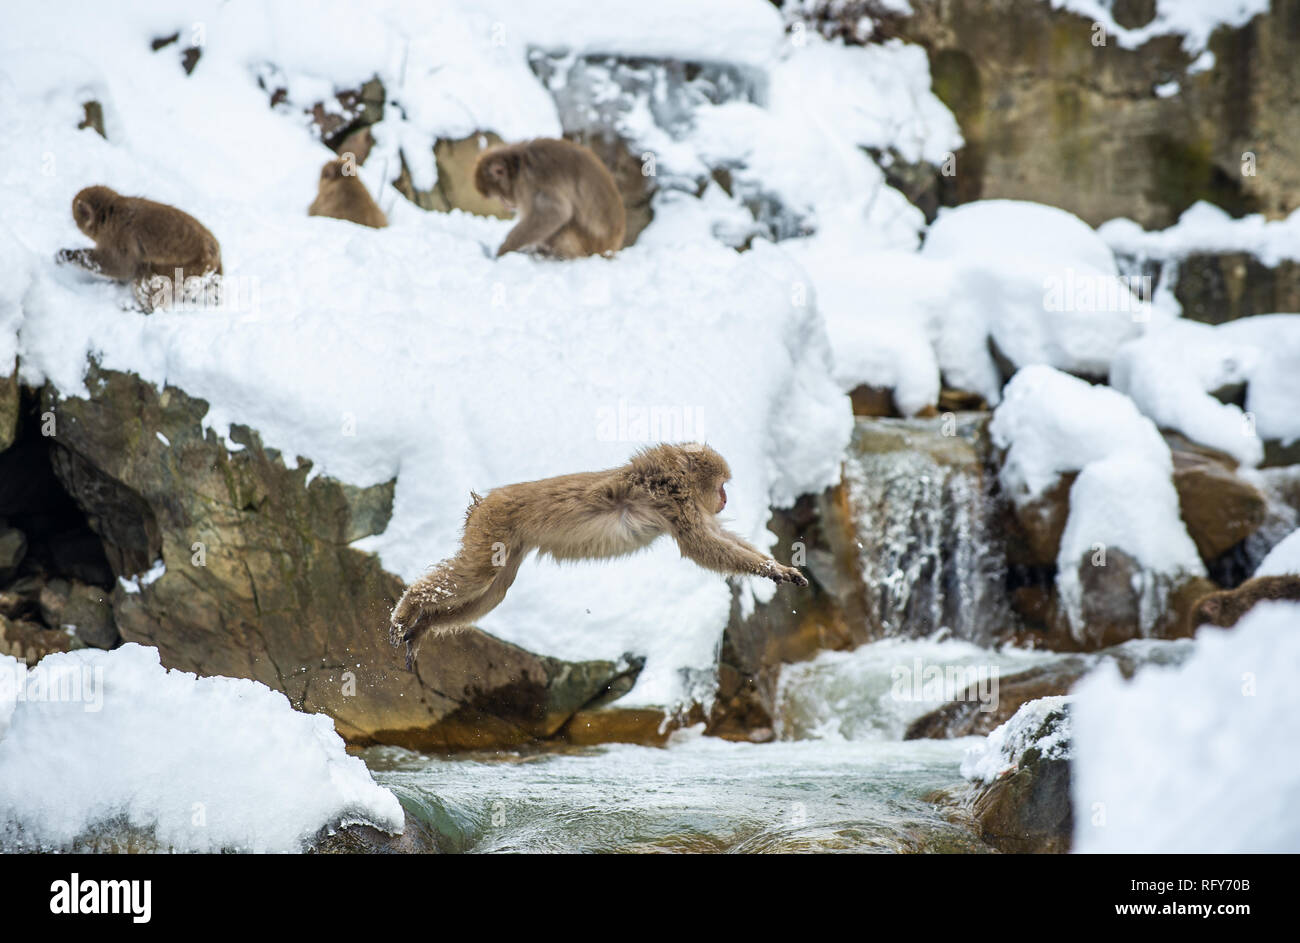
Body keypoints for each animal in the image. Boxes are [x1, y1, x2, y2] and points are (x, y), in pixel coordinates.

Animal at [56, 185, 222, 312]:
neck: (111, 214)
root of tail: (216, 258)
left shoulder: (121, 237)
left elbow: (119, 266)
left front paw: (68, 255)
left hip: (190, 268)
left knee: (147, 277)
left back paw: (144, 309)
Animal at [389, 443, 807, 668]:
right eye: (721, 485)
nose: (724, 499)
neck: (672, 475)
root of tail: (486, 501)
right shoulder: (674, 501)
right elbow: (702, 546)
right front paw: (770, 568)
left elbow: (717, 537)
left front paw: (780, 569)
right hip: (492, 527)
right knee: (475, 575)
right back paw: (408, 608)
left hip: (507, 544)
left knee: (492, 592)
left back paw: (423, 627)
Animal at [473, 137, 625, 259]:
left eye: (500, 197)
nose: (506, 205)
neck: (519, 165)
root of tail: (611, 248)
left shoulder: (533, 180)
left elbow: (555, 213)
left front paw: (504, 249)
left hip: (590, 242)